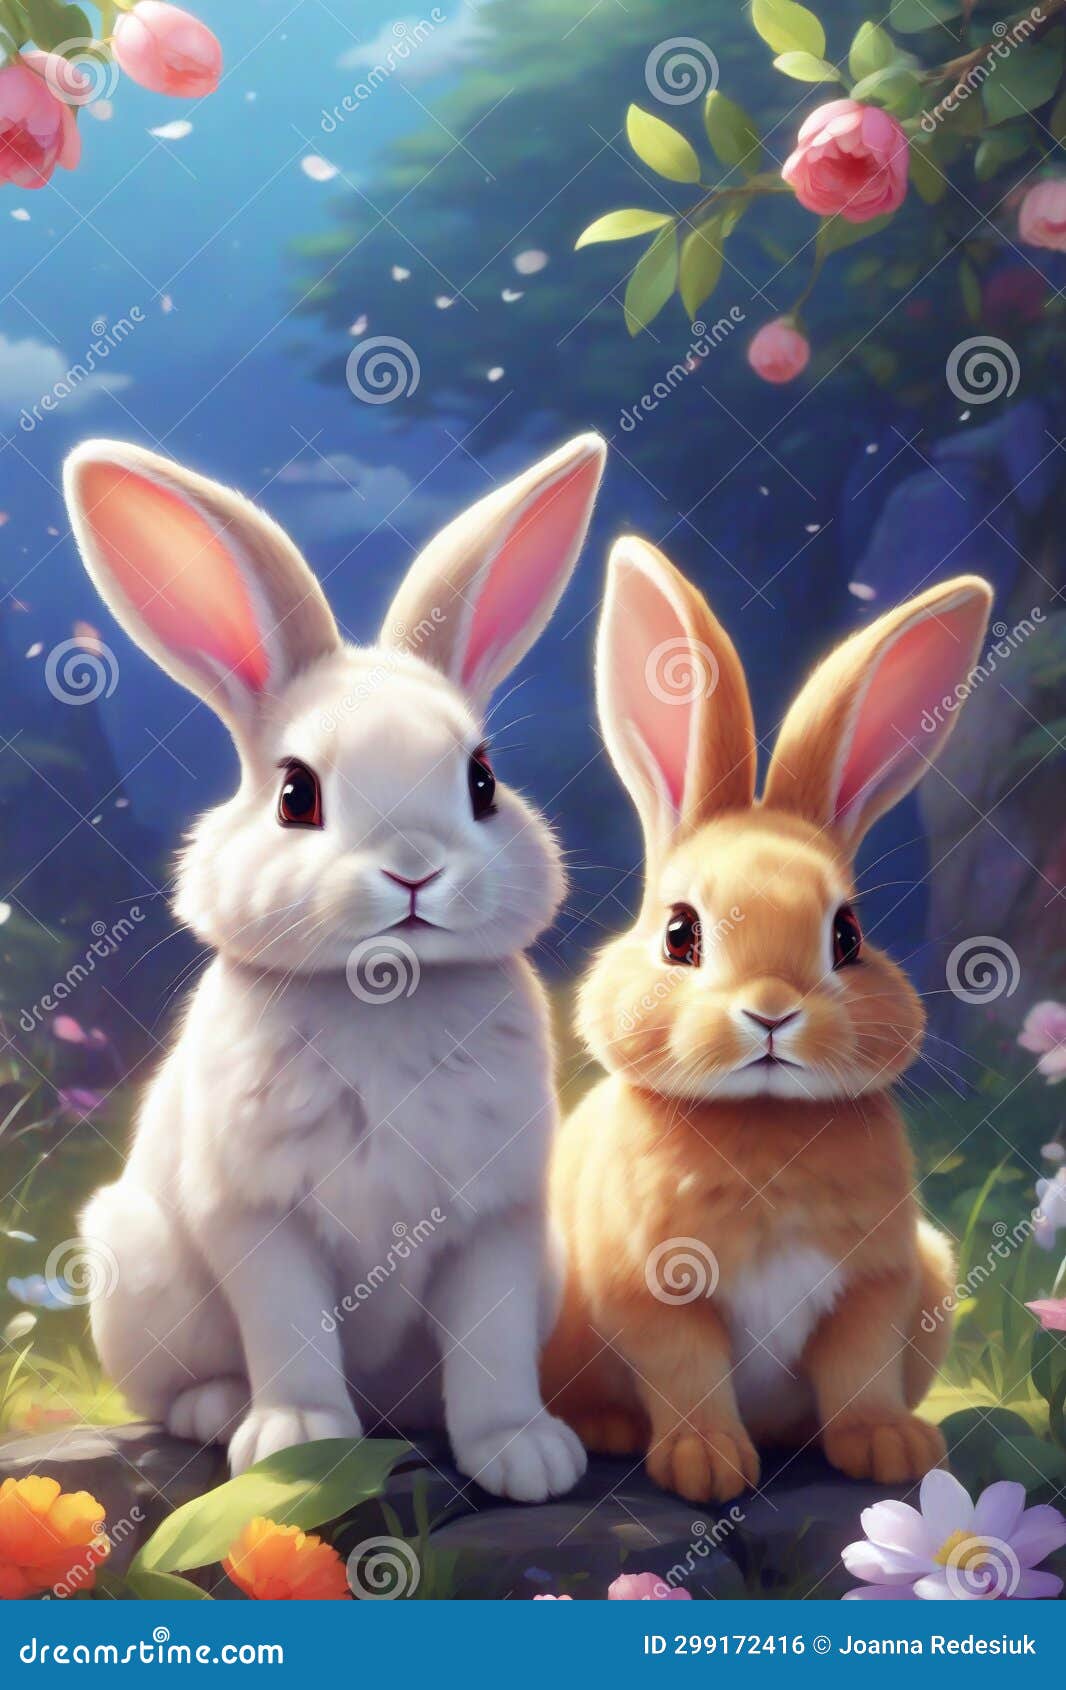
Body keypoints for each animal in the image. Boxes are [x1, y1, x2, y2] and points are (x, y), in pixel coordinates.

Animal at [64, 431, 606, 1500]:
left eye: (482, 781)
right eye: (295, 796)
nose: (415, 870)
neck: (384, 997)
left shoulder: (498, 1223)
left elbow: (490, 1347)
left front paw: (524, 1455)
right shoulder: (259, 1217)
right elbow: (290, 1330)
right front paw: (296, 1445)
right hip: (139, 1272)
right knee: (176, 1386)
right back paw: (223, 1411)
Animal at [542, 535, 992, 1505]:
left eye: (846, 935)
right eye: (680, 934)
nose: (774, 1013)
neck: (764, 1125)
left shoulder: (877, 1286)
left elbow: (859, 1374)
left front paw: (892, 1449)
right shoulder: (654, 1293)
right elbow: (686, 1373)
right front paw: (707, 1466)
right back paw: (604, 1431)